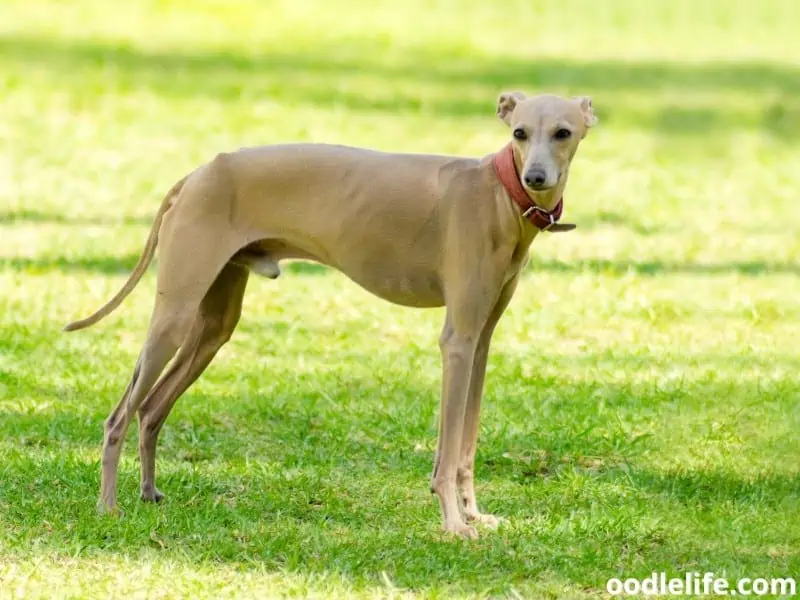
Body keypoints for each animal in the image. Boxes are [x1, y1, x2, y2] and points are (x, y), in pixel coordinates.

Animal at [67, 91, 592, 536]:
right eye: (519, 133)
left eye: (562, 132)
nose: (536, 178)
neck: (497, 193)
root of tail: (196, 175)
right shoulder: (458, 339)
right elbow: (446, 451)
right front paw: (454, 524)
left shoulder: (480, 340)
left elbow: (466, 444)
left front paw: (475, 515)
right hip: (174, 316)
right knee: (120, 415)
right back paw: (108, 507)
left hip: (212, 327)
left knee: (151, 408)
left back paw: (148, 492)